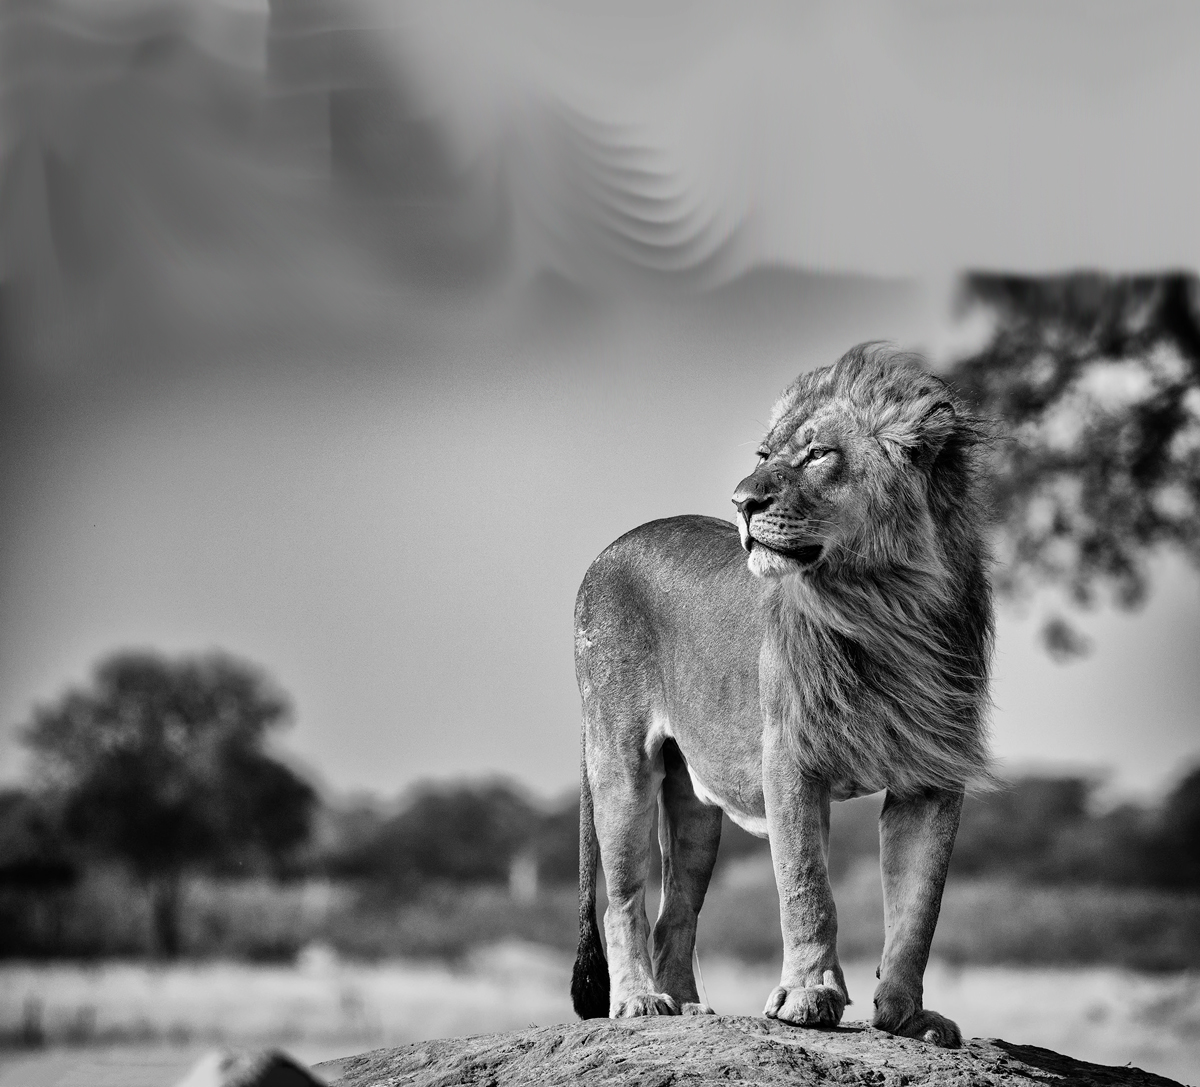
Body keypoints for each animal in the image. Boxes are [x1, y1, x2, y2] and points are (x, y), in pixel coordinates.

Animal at [569, 343, 993, 1047]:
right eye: (765, 454)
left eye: (819, 454)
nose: (741, 501)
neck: (888, 605)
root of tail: (610, 548)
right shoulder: (790, 759)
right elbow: (806, 885)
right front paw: (808, 997)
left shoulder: (932, 775)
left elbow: (918, 904)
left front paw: (907, 1018)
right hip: (620, 763)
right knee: (624, 897)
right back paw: (638, 1001)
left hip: (694, 804)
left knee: (676, 907)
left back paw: (688, 1005)